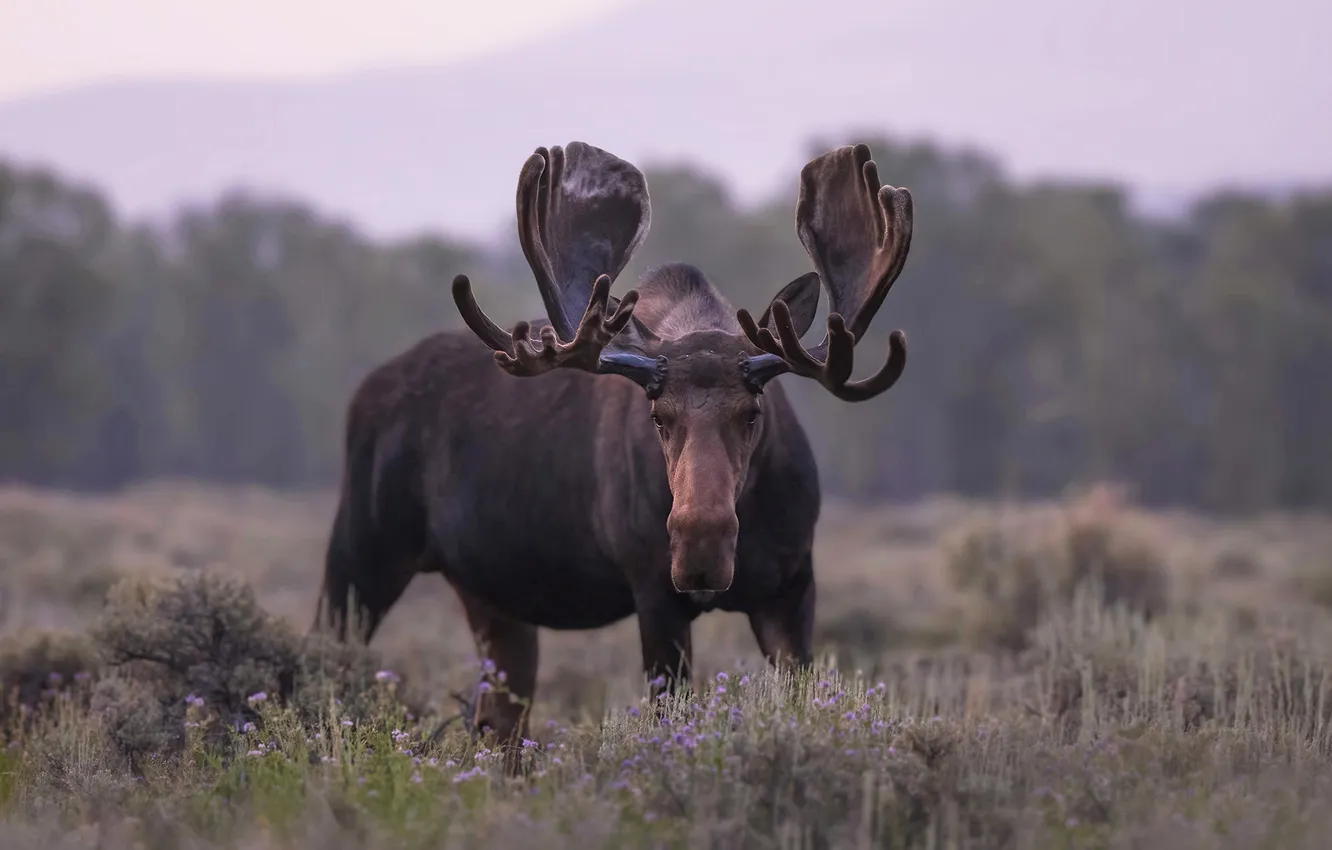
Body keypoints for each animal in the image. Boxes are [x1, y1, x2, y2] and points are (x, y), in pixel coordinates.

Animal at [314, 140, 914, 752]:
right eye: (657, 416)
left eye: (753, 413)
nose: (700, 544)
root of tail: (365, 391)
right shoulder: (654, 591)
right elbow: (668, 714)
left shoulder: (792, 588)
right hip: (363, 549)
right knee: (325, 663)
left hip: (490, 595)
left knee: (499, 718)